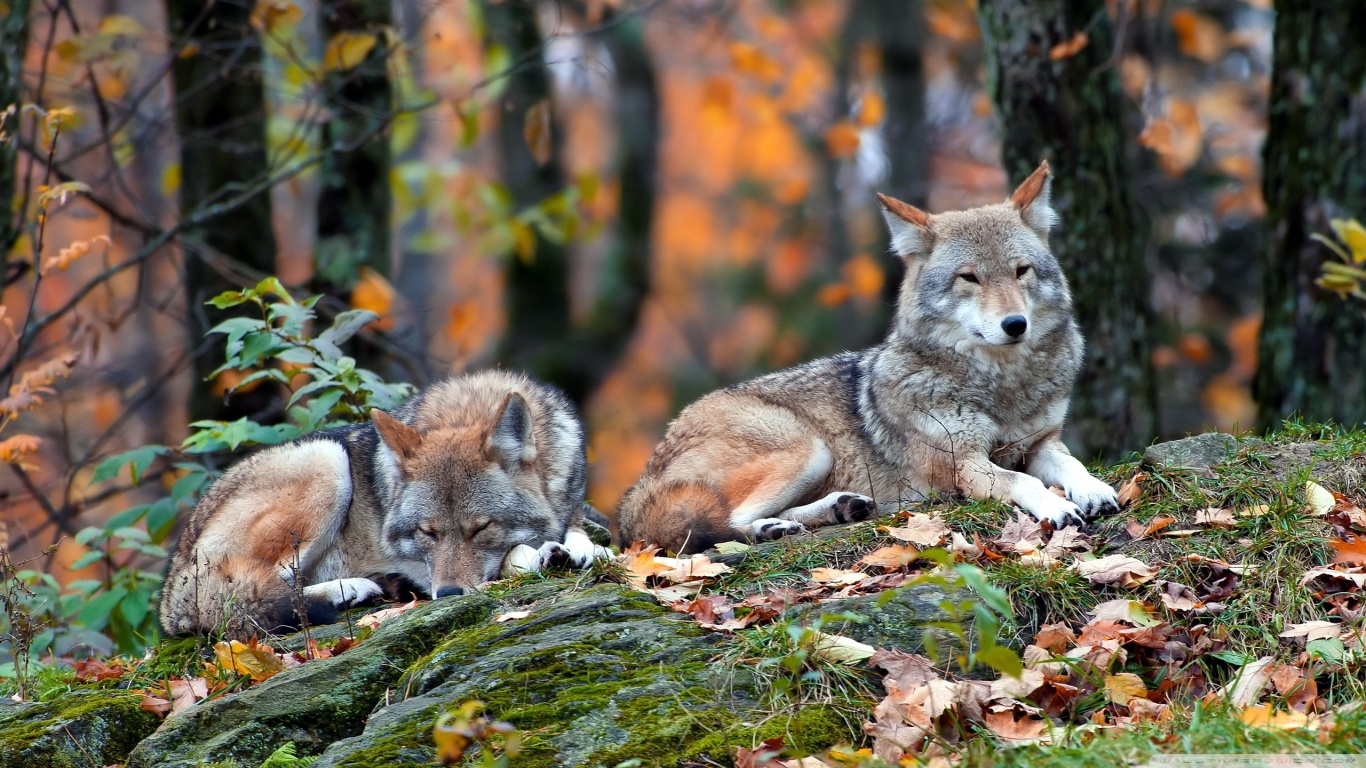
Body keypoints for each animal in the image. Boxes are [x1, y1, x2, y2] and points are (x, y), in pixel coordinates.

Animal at [160, 370, 610, 637]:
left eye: (481, 527)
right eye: (427, 532)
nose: (448, 594)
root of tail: (171, 590)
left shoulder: (570, 506)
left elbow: (580, 533)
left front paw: (580, 549)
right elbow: (512, 557)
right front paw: (542, 555)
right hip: (326, 463)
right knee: (256, 595)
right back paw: (350, 589)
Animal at [617, 161, 1120, 554]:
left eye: (1021, 271)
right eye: (969, 278)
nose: (1016, 324)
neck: (1000, 387)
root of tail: (639, 484)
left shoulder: (1040, 443)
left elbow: (1072, 464)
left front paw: (1095, 491)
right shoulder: (963, 464)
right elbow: (1025, 483)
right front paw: (1057, 506)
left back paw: (839, 508)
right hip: (807, 448)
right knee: (726, 524)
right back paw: (772, 528)